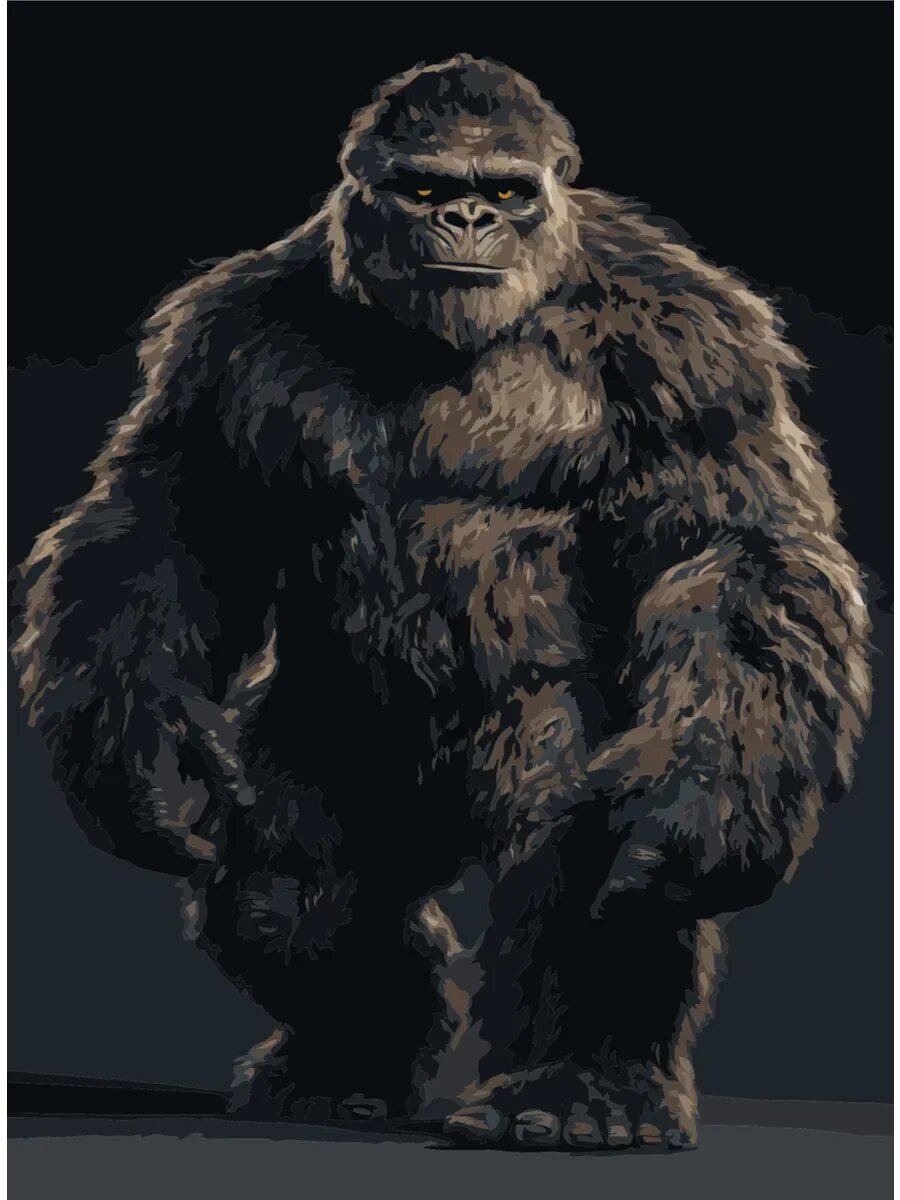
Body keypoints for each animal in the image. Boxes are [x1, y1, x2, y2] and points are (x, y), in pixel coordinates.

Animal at [12, 55, 871, 1151]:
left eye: (504, 191)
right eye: (424, 189)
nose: (466, 220)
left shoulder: (693, 342)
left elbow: (731, 552)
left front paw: (704, 806)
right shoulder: (223, 335)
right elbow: (172, 523)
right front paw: (137, 753)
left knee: (575, 852)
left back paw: (578, 1086)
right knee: (289, 894)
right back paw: (345, 1058)